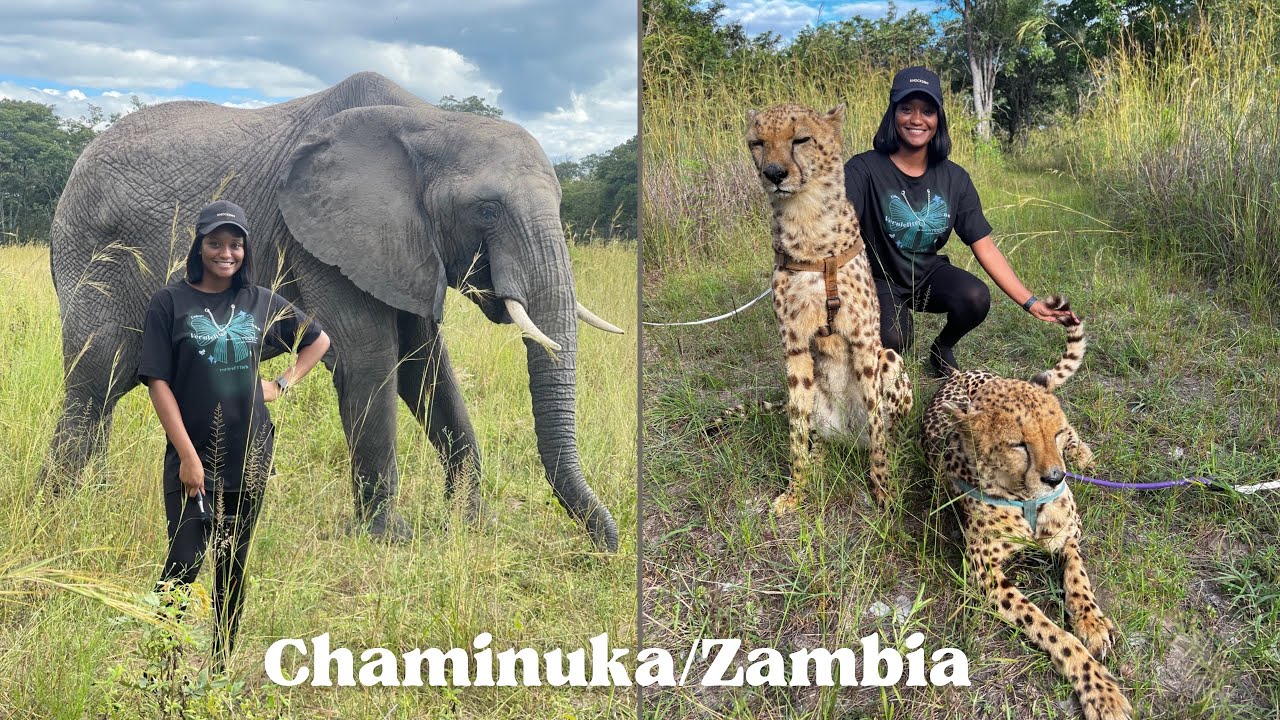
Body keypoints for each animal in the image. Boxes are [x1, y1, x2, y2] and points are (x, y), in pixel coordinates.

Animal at [746, 103, 913, 515]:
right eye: (758, 143)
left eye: (801, 139)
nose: (774, 174)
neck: (805, 222)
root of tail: (848, 439)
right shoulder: (794, 347)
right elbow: (795, 430)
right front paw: (796, 490)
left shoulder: (866, 342)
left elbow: (877, 428)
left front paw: (884, 491)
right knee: (814, 434)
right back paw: (819, 463)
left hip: (890, 357)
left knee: (885, 429)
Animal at [923, 296, 1132, 720]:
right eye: (1018, 444)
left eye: (1054, 433)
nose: (1056, 477)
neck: (1024, 497)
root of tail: (964, 374)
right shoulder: (984, 573)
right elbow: (1048, 628)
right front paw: (1098, 688)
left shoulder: (1070, 532)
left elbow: (1077, 577)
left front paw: (1091, 620)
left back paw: (1083, 455)